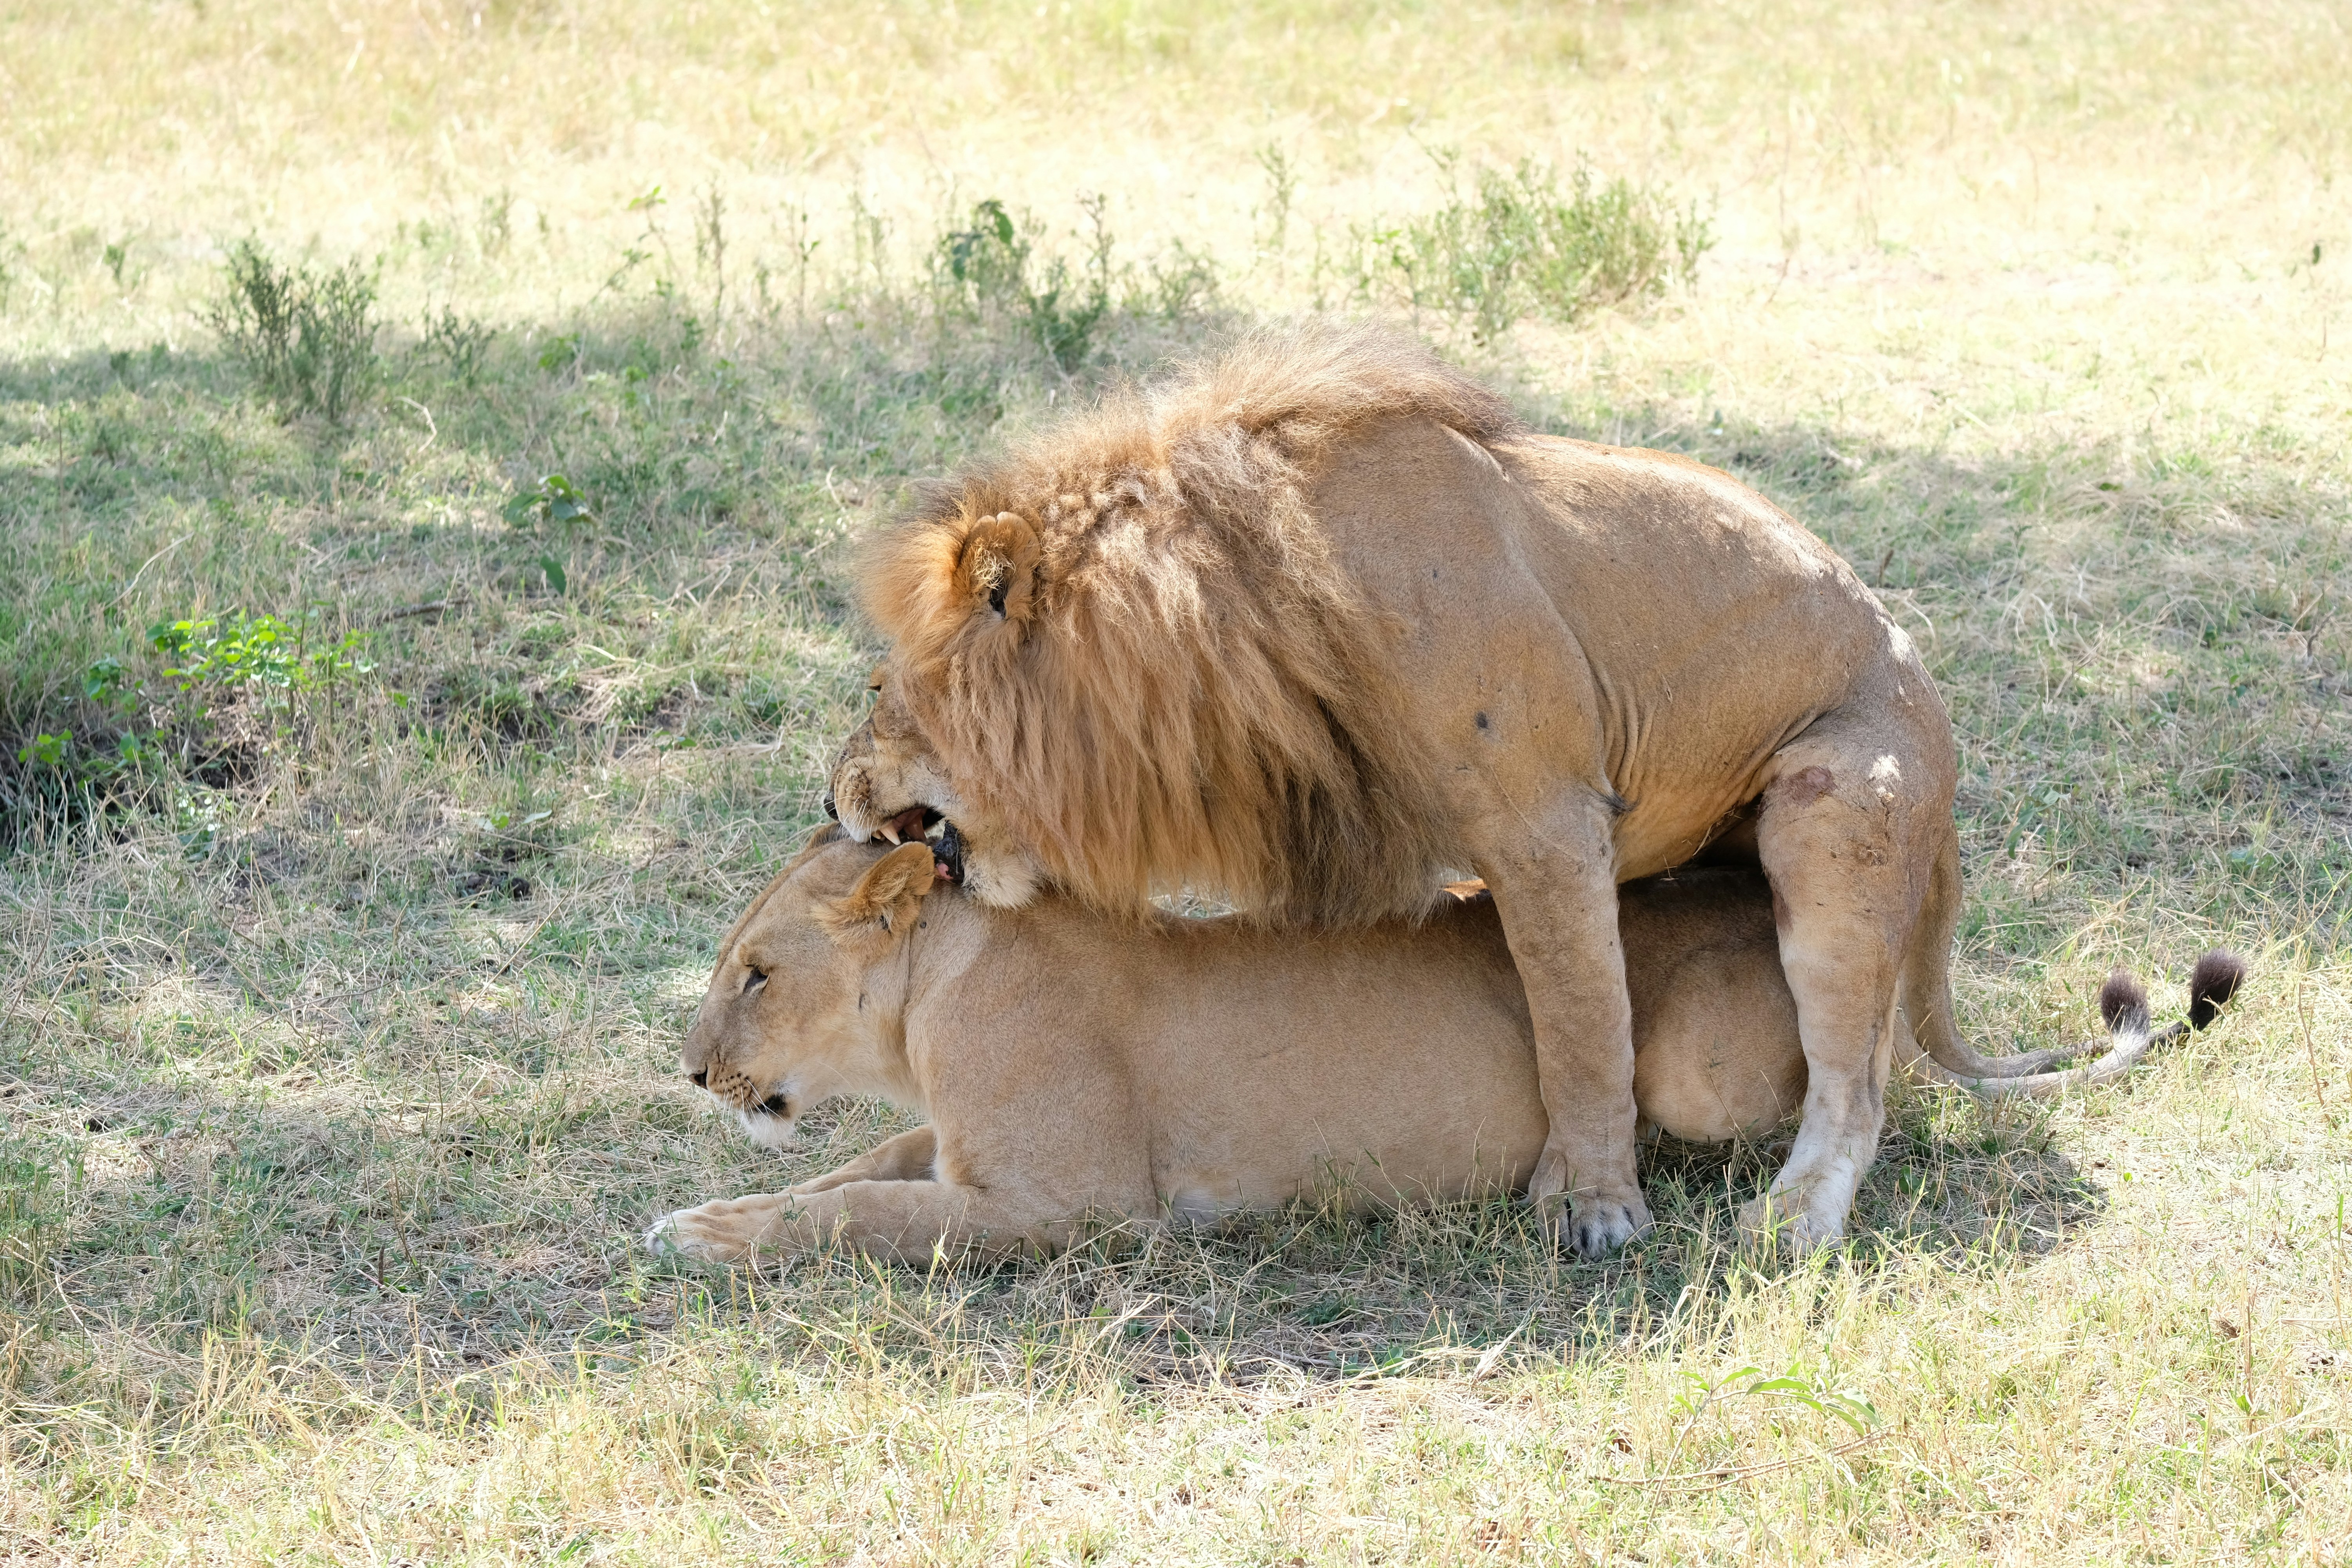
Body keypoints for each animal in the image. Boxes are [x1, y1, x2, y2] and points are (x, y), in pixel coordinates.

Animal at [647, 831, 2241, 1265]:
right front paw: (710, 1205)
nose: (691, 1072)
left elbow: (857, 1207)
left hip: (1703, 1061)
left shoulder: (1074, 1206)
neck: (933, 993)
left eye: (754, 972)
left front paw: (701, 1235)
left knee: (1864, 1093)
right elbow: (853, 1164)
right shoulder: (961, 1142)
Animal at [827, 319, 2080, 1253]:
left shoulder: (1549, 821)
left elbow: (1583, 1020)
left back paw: (1795, 1220)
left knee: (1857, 1084)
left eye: (882, 688)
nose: (828, 788)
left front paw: (1594, 1206)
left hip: (1835, 809)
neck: (1242, 609)